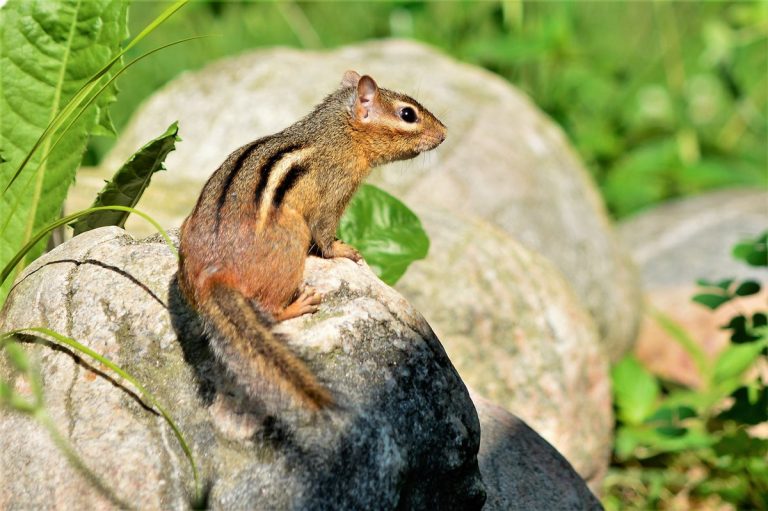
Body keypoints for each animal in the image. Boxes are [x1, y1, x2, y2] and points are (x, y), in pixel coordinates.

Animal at [177, 70, 447, 411]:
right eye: (408, 114)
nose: (445, 133)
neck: (337, 133)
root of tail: (211, 273)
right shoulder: (336, 190)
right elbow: (325, 231)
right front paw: (344, 250)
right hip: (293, 240)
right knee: (270, 309)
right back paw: (299, 304)